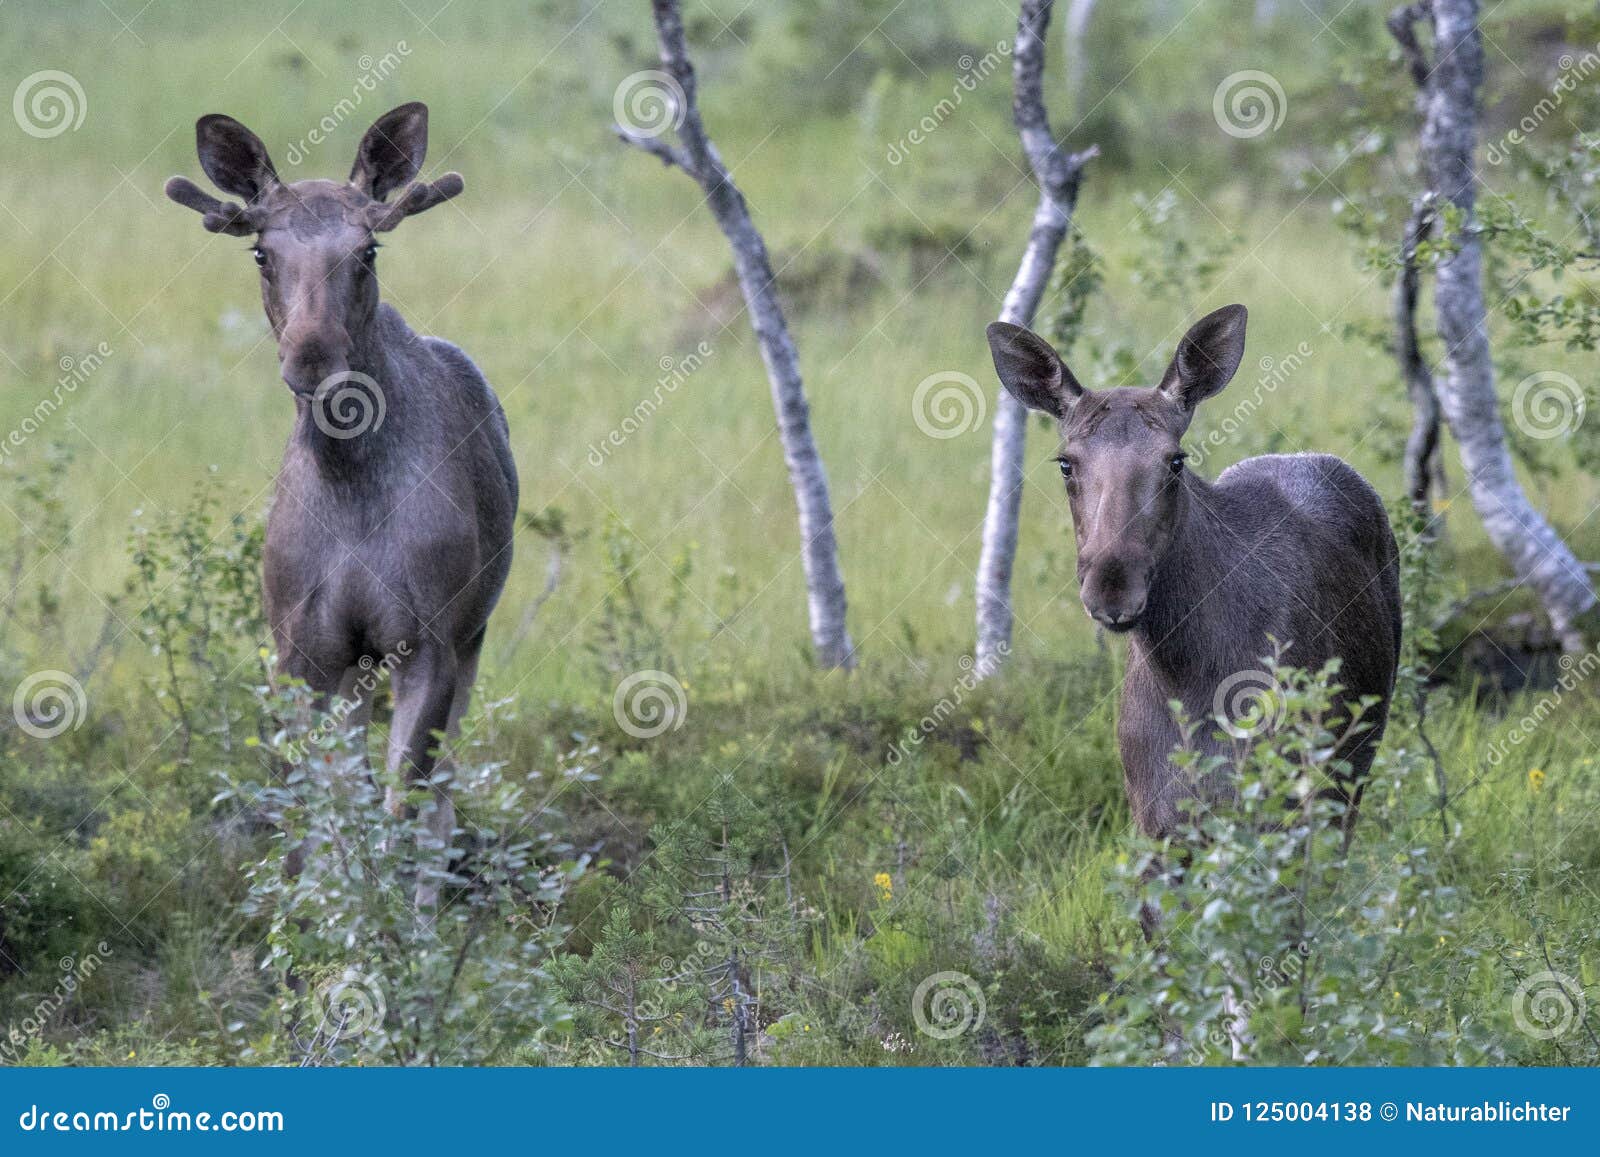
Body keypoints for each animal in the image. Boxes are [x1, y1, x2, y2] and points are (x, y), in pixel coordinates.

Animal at [166, 103, 518, 909]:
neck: (350, 488)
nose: (312, 354)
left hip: (473, 631)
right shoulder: (302, 650)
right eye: (261, 253)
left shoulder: (430, 639)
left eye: (368, 251)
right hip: (356, 665)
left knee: (442, 804)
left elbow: (400, 807)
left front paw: (388, 934)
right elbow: (315, 818)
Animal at [986, 305, 1400, 844]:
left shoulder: (1280, 808)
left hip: (1350, 765)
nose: (1112, 588)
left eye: (1175, 460)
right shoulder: (1156, 819)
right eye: (1065, 464)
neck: (1185, 675)